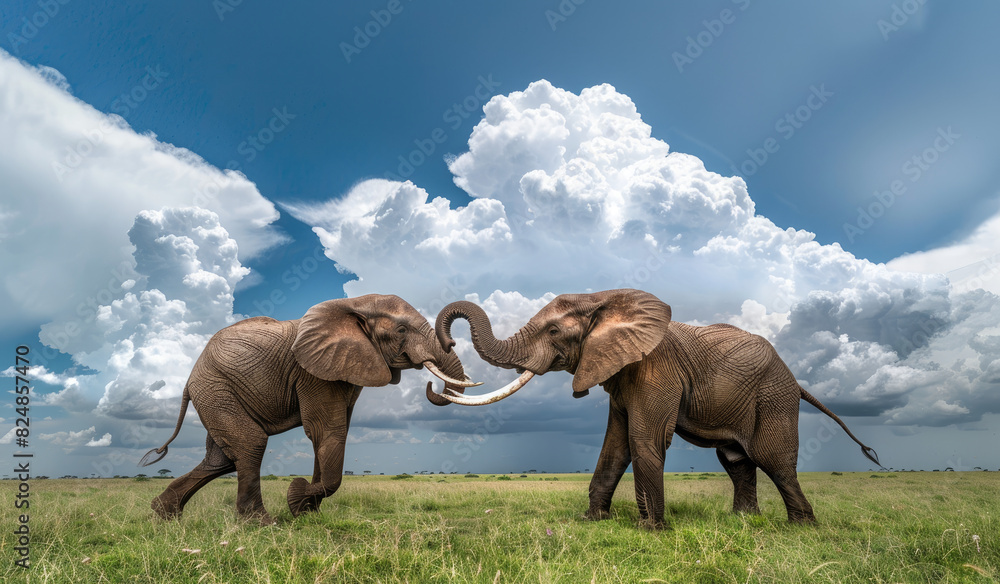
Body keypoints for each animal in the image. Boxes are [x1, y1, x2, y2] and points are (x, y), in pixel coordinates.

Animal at [140, 294, 478, 524]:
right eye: (402, 331)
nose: (430, 384)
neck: (355, 304)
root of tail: (190, 378)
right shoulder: (312, 373)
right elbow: (326, 431)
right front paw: (298, 498)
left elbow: (331, 435)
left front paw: (306, 513)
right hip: (215, 388)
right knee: (249, 444)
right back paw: (262, 524)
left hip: (216, 393)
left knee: (220, 459)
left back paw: (163, 514)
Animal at [430, 289, 879, 527]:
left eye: (554, 331)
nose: (448, 343)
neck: (603, 299)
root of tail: (797, 380)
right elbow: (615, 446)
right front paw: (595, 522)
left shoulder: (654, 370)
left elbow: (643, 439)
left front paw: (652, 530)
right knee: (736, 460)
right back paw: (743, 522)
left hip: (774, 396)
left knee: (773, 459)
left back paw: (802, 527)